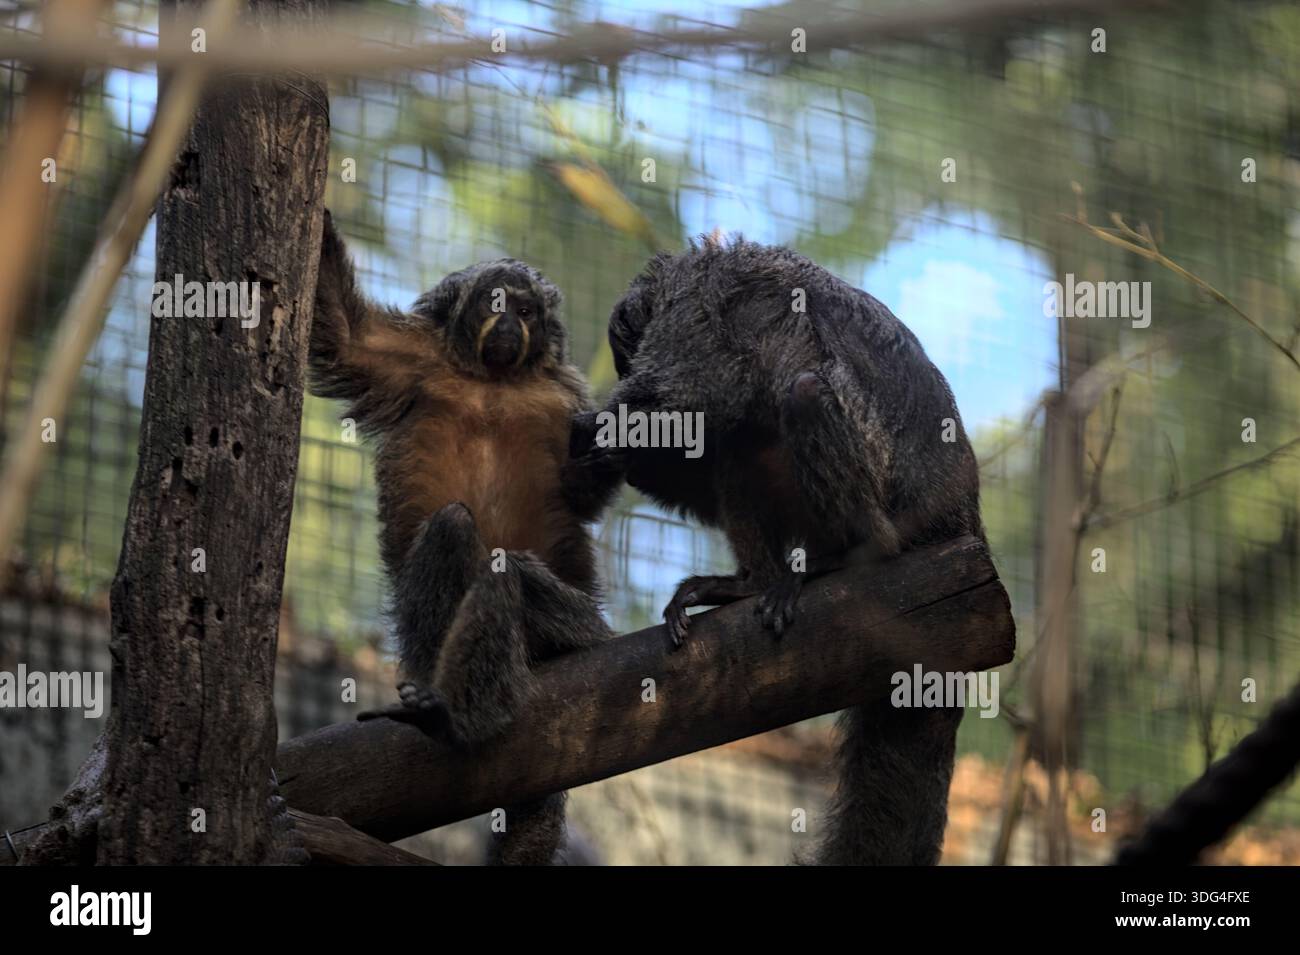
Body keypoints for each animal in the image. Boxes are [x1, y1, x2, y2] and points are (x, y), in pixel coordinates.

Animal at [308, 211, 623, 865]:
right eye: (495, 303)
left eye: (525, 311)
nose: (509, 322)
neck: (494, 380)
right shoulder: (407, 358)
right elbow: (343, 335)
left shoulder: (565, 396)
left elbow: (581, 492)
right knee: (453, 530)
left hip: (587, 633)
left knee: (511, 574)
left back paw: (456, 719)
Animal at [575, 237, 986, 865]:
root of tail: (960, 504)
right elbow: (706, 434)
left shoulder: (697, 308)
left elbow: (689, 397)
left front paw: (601, 430)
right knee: (743, 438)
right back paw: (750, 582)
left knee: (805, 393)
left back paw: (848, 556)